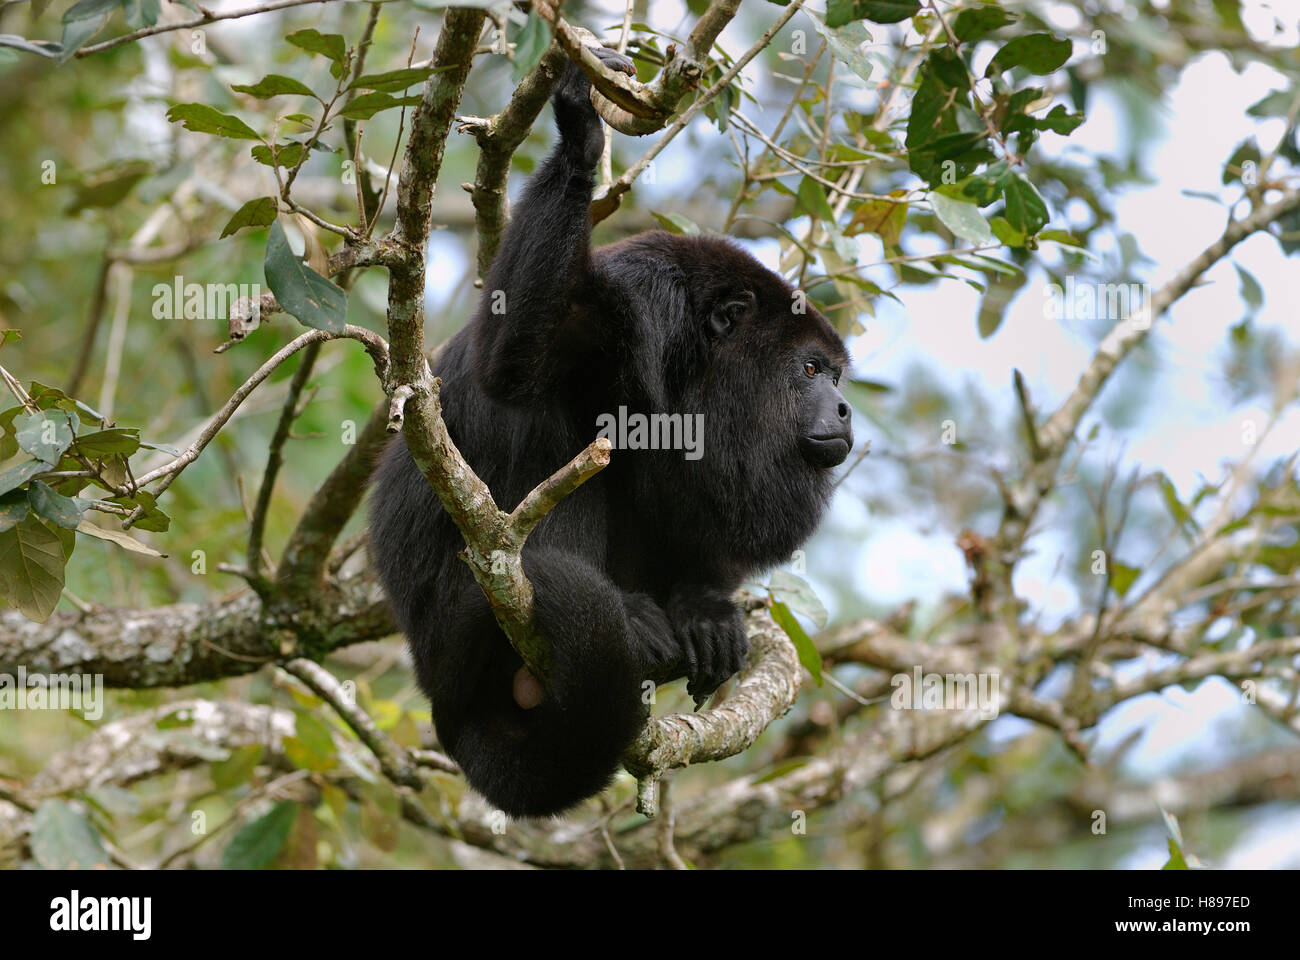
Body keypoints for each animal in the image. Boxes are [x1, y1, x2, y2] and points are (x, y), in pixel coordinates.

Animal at [368, 48, 852, 817]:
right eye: (809, 369)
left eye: (837, 374)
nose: (843, 410)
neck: (693, 370)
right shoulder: (630, 301)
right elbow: (509, 365)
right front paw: (579, 132)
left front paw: (705, 608)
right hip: (454, 630)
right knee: (547, 425)